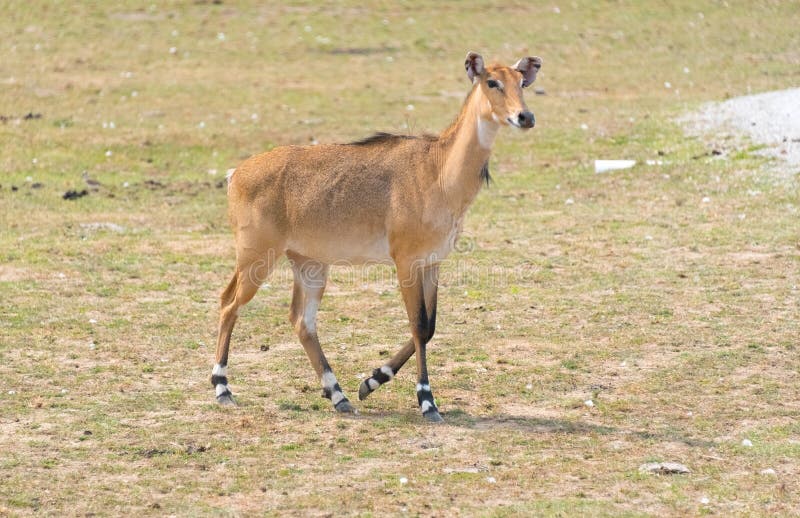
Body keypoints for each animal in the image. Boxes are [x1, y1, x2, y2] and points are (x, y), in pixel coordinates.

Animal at [211, 51, 542, 422]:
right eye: (492, 81)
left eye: (522, 82)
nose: (524, 116)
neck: (439, 171)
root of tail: (236, 174)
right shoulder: (406, 262)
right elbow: (418, 325)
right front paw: (427, 402)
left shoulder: (433, 262)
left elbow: (430, 326)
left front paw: (370, 382)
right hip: (256, 255)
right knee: (229, 303)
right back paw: (223, 388)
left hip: (309, 263)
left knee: (301, 321)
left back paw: (339, 396)